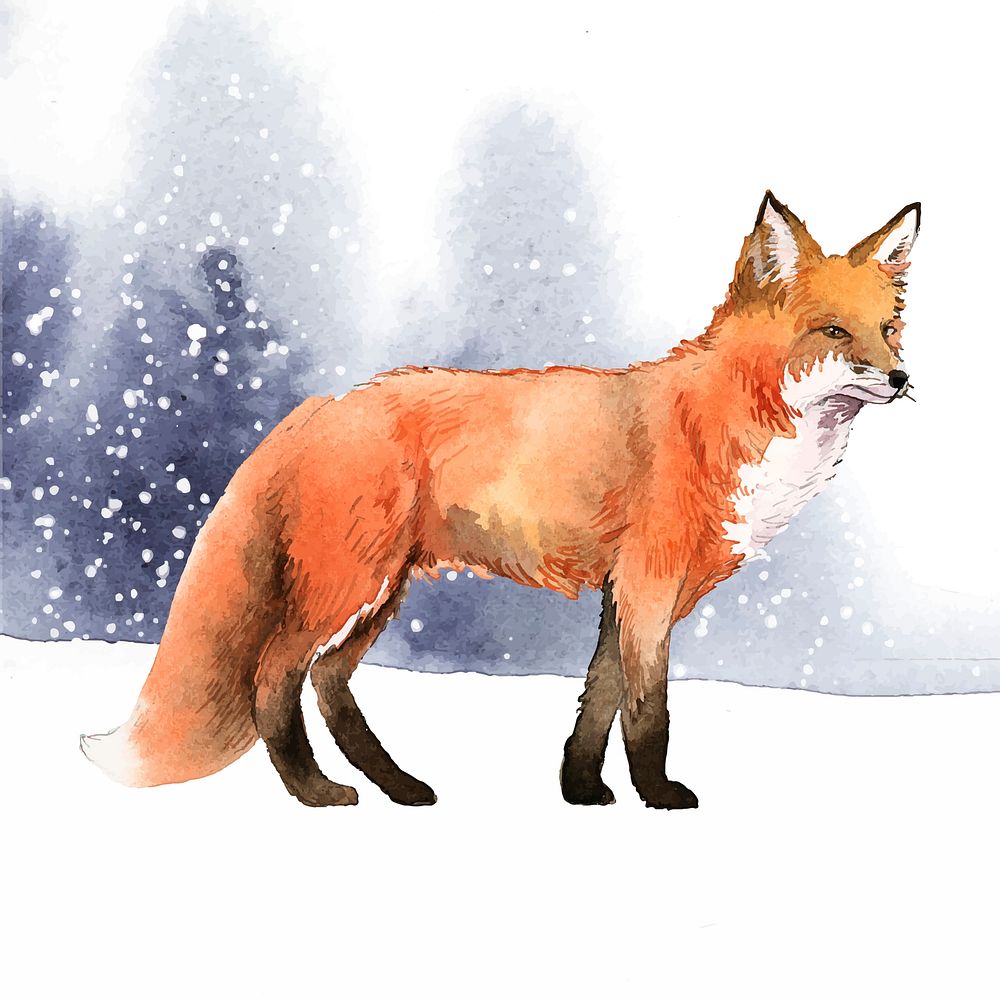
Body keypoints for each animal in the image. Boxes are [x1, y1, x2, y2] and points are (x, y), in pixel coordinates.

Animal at [81, 192, 919, 809]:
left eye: (889, 330)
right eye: (834, 332)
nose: (902, 379)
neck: (728, 419)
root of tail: (322, 403)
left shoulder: (621, 595)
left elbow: (597, 701)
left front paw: (581, 792)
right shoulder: (648, 586)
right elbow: (648, 712)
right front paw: (658, 797)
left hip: (378, 594)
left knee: (329, 684)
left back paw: (398, 787)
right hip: (347, 587)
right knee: (273, 682)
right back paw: (317, 793)